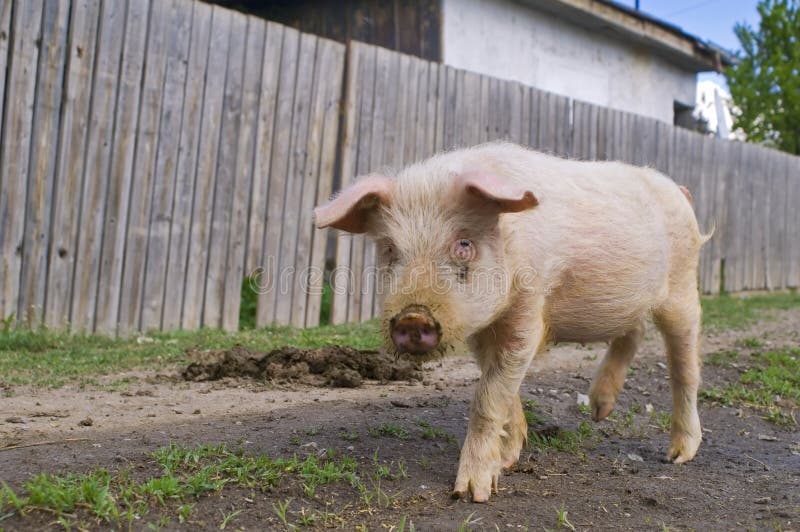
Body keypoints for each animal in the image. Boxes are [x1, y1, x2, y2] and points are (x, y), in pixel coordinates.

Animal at [314, 142, 710, 503]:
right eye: (389, 249)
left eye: (464, 243)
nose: (413, 317)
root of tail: (679, 191)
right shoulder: (481, 327)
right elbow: (503, 388)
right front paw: (507, 460)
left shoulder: (528, 312)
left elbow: (489, 395)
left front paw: (471, 493)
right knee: (634, 331)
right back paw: (599, 412)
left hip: (682, 286)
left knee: (684, 365)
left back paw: (677, 455)